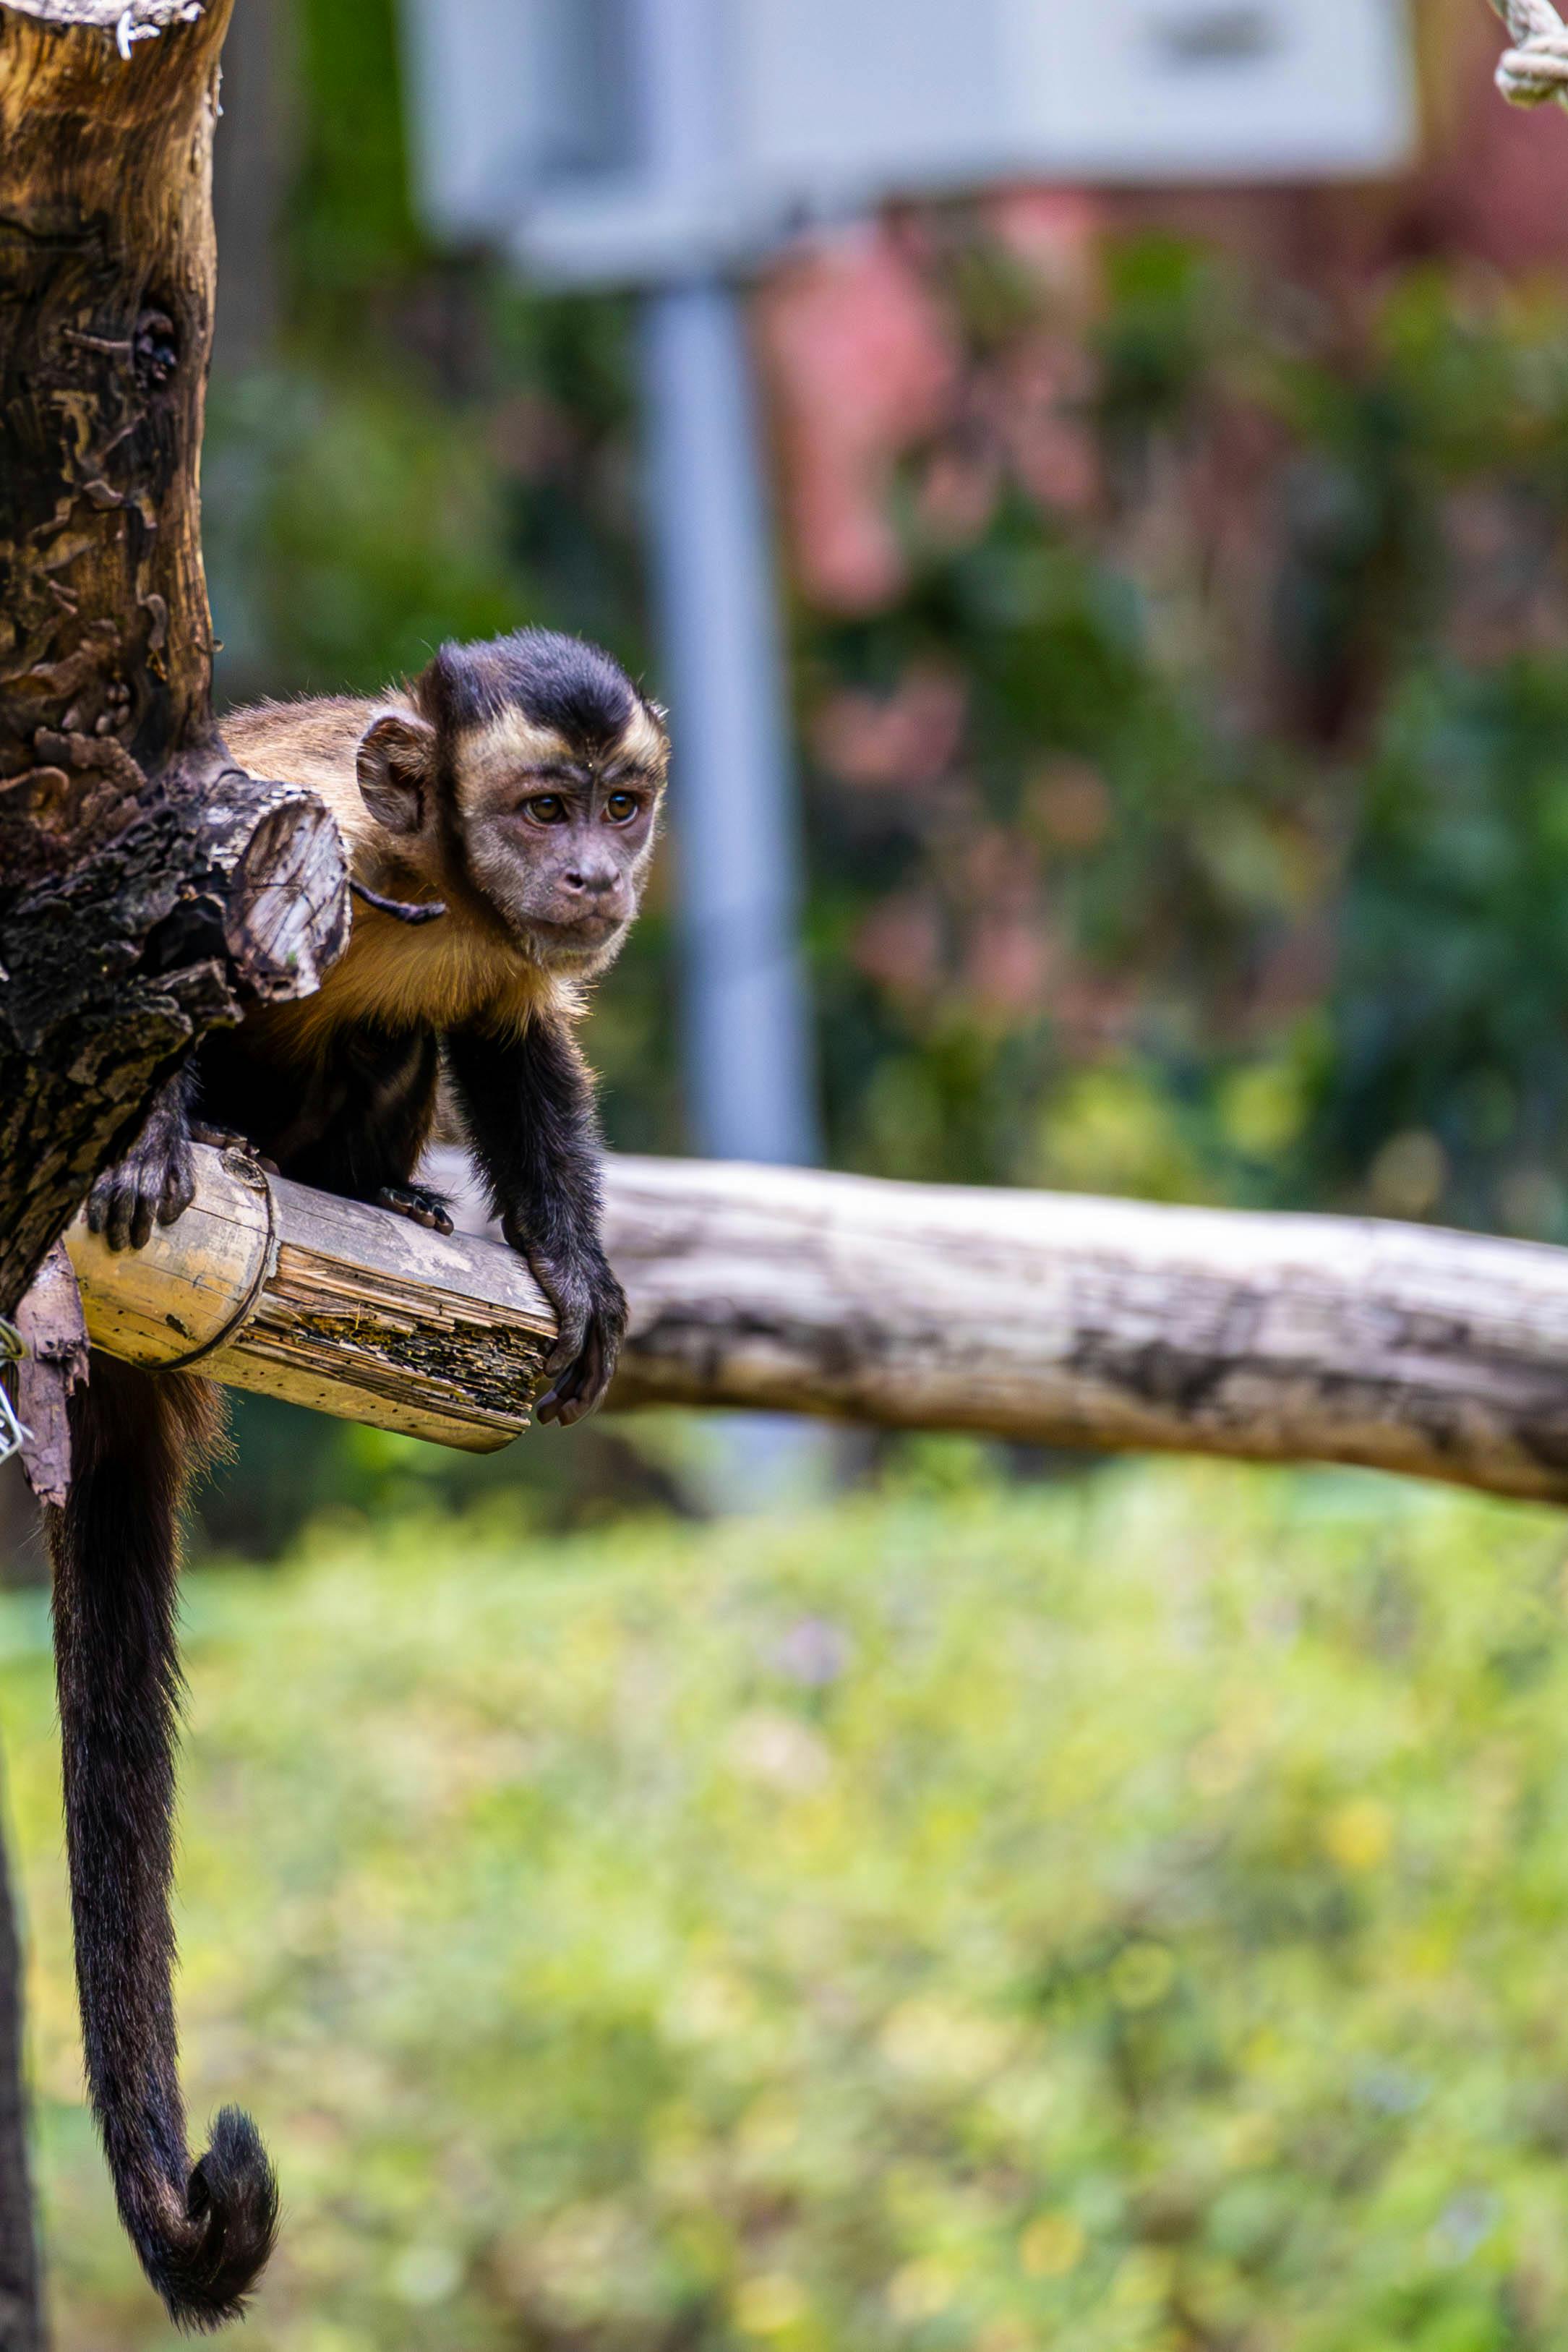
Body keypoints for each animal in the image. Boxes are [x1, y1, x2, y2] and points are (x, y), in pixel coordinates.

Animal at [44, 627, 668, 2328]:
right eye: (541, 806)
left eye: (621, 803)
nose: (594, 872)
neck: (437, 878)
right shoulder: (302, 817)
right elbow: (156, 969)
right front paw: (146, 1138)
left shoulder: (513, 952)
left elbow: (516, 1039)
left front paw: (571, 1269)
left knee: (406, 1041)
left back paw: (375, 1194)